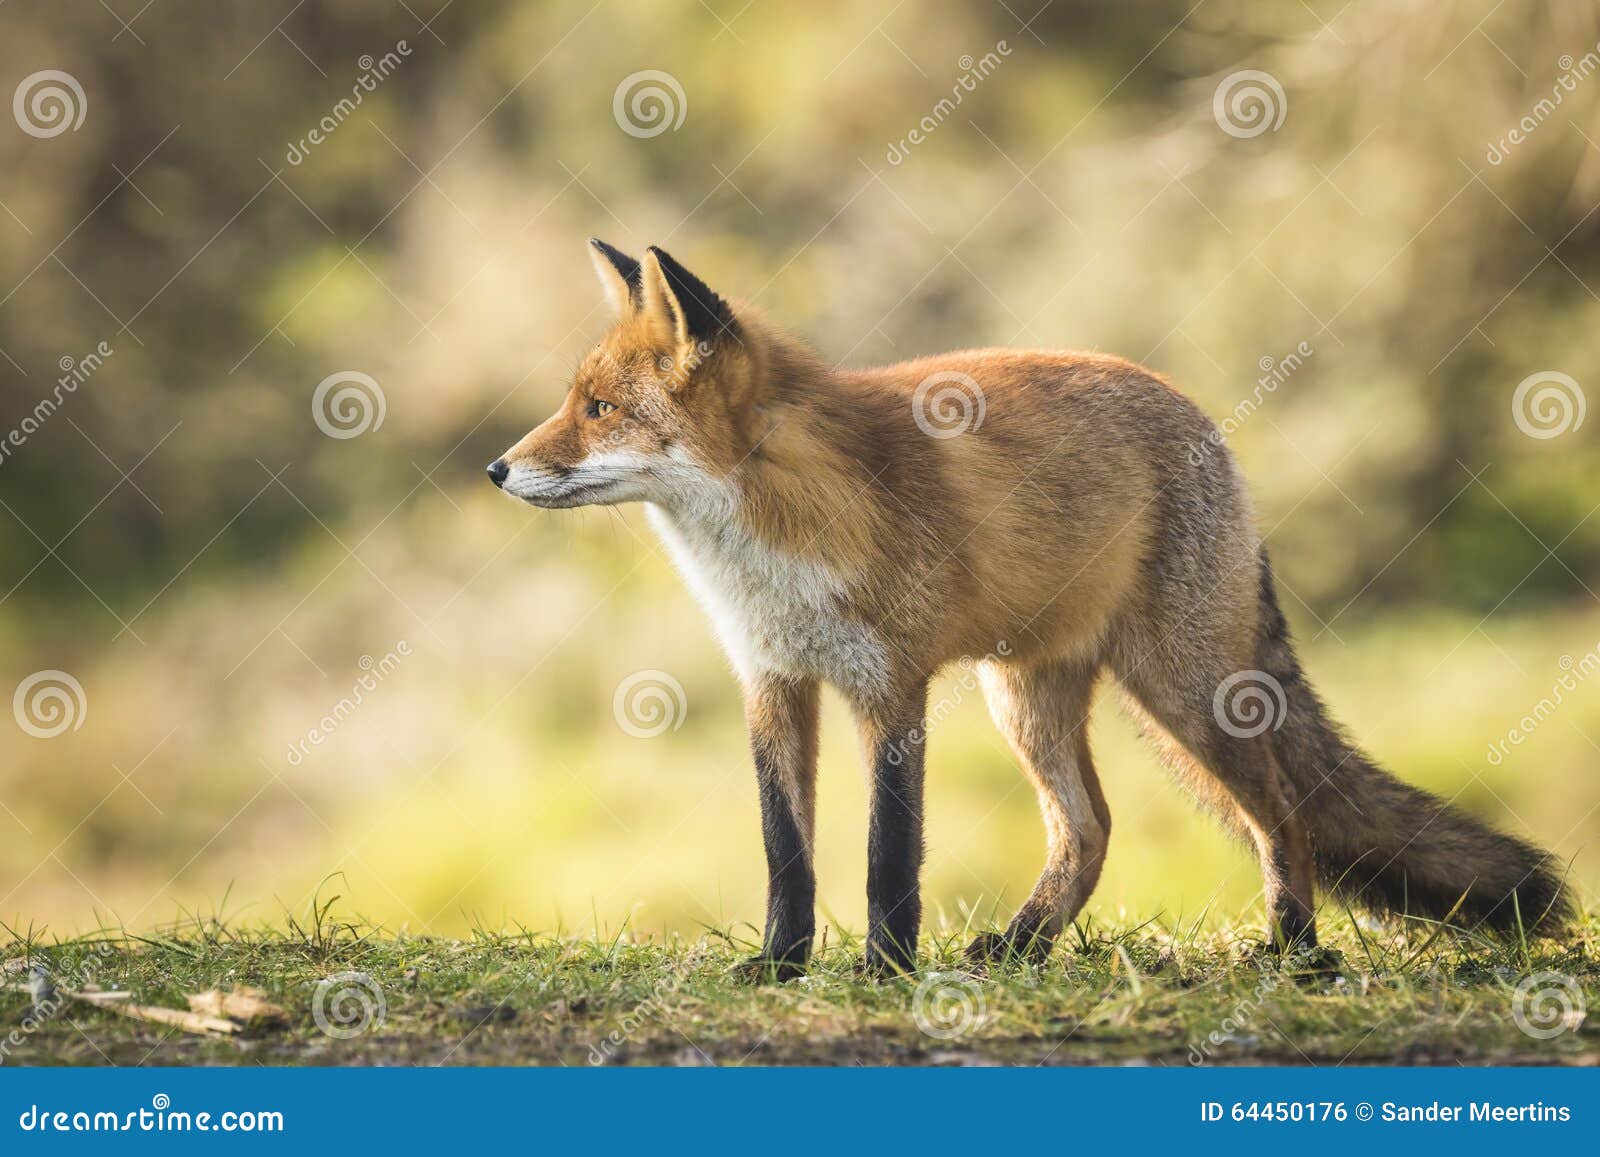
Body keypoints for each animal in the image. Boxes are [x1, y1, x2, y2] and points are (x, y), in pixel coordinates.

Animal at [488, 237, 1573, 978]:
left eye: (598, 411)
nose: (496, 469)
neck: (769, 530)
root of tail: (1204, 423)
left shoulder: (892, 686)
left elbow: (889, 852)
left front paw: (885, 970)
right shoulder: (774, 682)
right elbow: (785, 852)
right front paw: (781, 965)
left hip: (1186, 695)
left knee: (1283, 813)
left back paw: (1295, 951)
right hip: (1029, 697)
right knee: (1089, 829)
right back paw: (1020, 944)